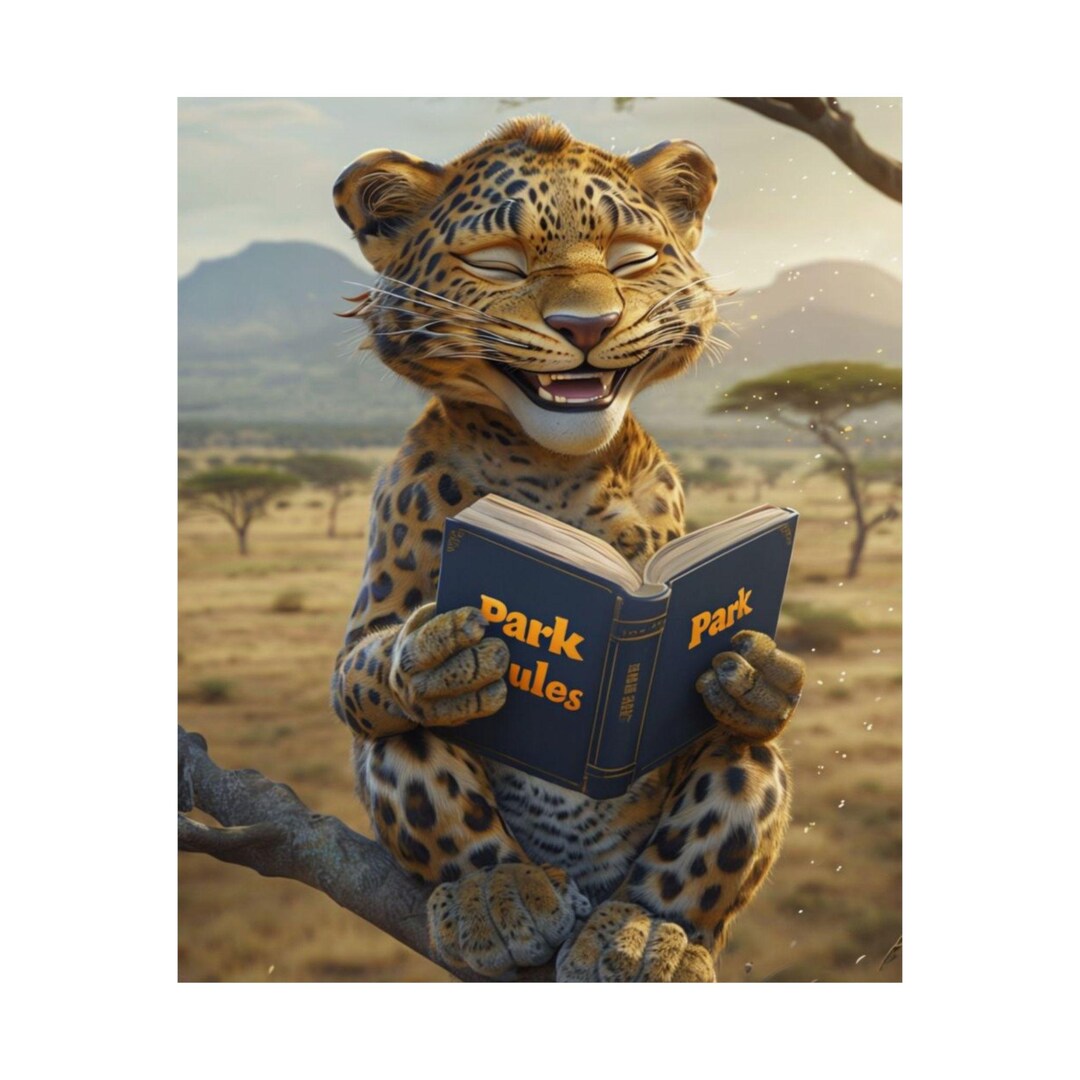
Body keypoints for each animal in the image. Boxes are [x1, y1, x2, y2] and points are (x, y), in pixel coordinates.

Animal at [329, 117, 804, 982]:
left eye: (631, 257)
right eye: (498, 263)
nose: (588, 327)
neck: (551, 469)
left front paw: (755, 674)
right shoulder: (388, 557)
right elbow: (362, 664)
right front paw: (444, 658)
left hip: (722, 793)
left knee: (735, 774)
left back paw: (645, 935)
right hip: (416, 766)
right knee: (409, 748)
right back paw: (499, 897)